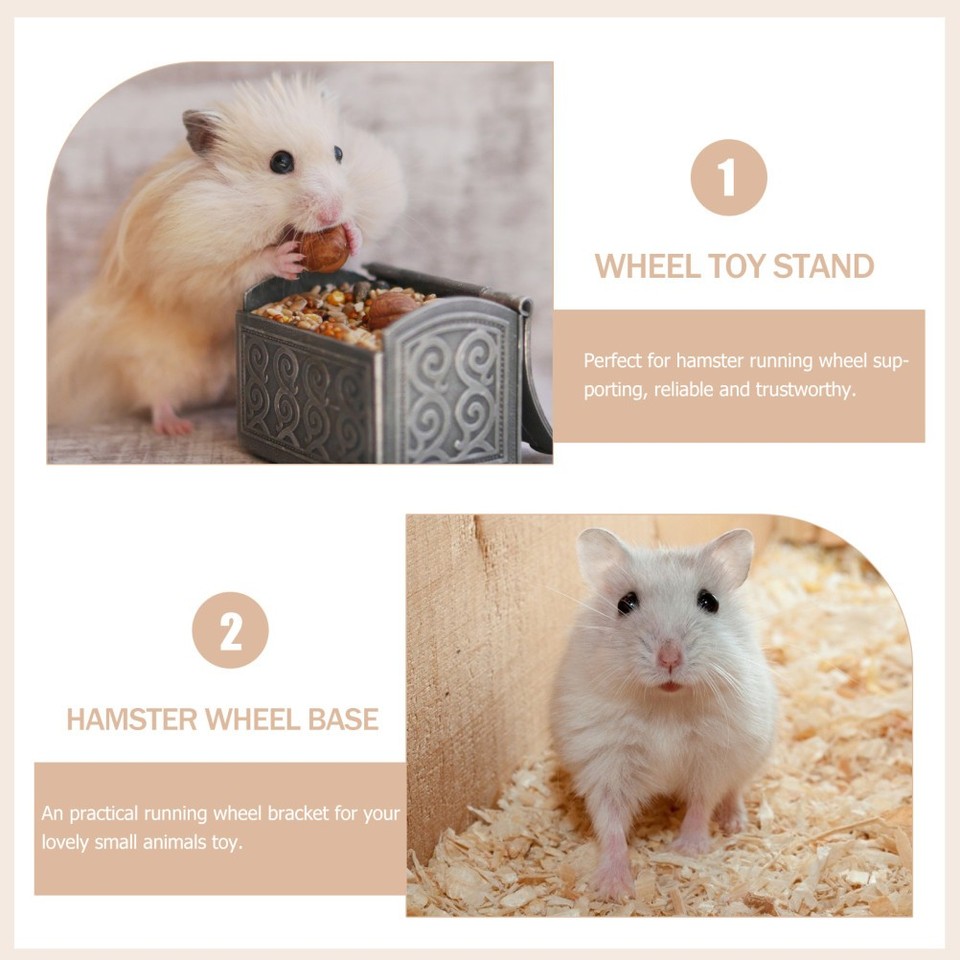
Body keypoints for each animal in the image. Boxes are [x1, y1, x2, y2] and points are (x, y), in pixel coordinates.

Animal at [47, 73, 406, 434]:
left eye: (339, 152)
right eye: (280, 162)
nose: (333, 213)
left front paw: (352, 233)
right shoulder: (191, 269)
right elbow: (237, 270)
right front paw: (286, 258)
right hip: (153, 358)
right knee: (154, 394)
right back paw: (176, 428)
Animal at [550, 527, 778, 900]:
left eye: (710, 602)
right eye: (625, 603)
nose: (669, 658)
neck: (666, 705)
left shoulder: (713, 757)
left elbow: (702, 802)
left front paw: (688, 850)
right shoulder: (605, 764)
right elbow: (610, 824)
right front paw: (614, 889)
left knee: (734, 790)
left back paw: (733, 823)